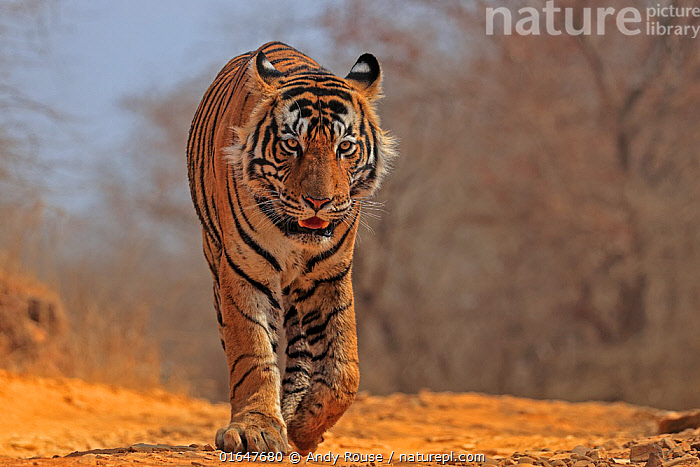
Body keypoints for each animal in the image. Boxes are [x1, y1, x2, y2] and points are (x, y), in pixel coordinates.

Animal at [186, 41, 396, 454]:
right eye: (291, 145)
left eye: (345, 147)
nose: (319, 202)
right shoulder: (244, 269)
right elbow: (252, 350)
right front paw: (255, 429)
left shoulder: (330, 274)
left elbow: (344, 369)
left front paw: (303, 428)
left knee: (302, 349)